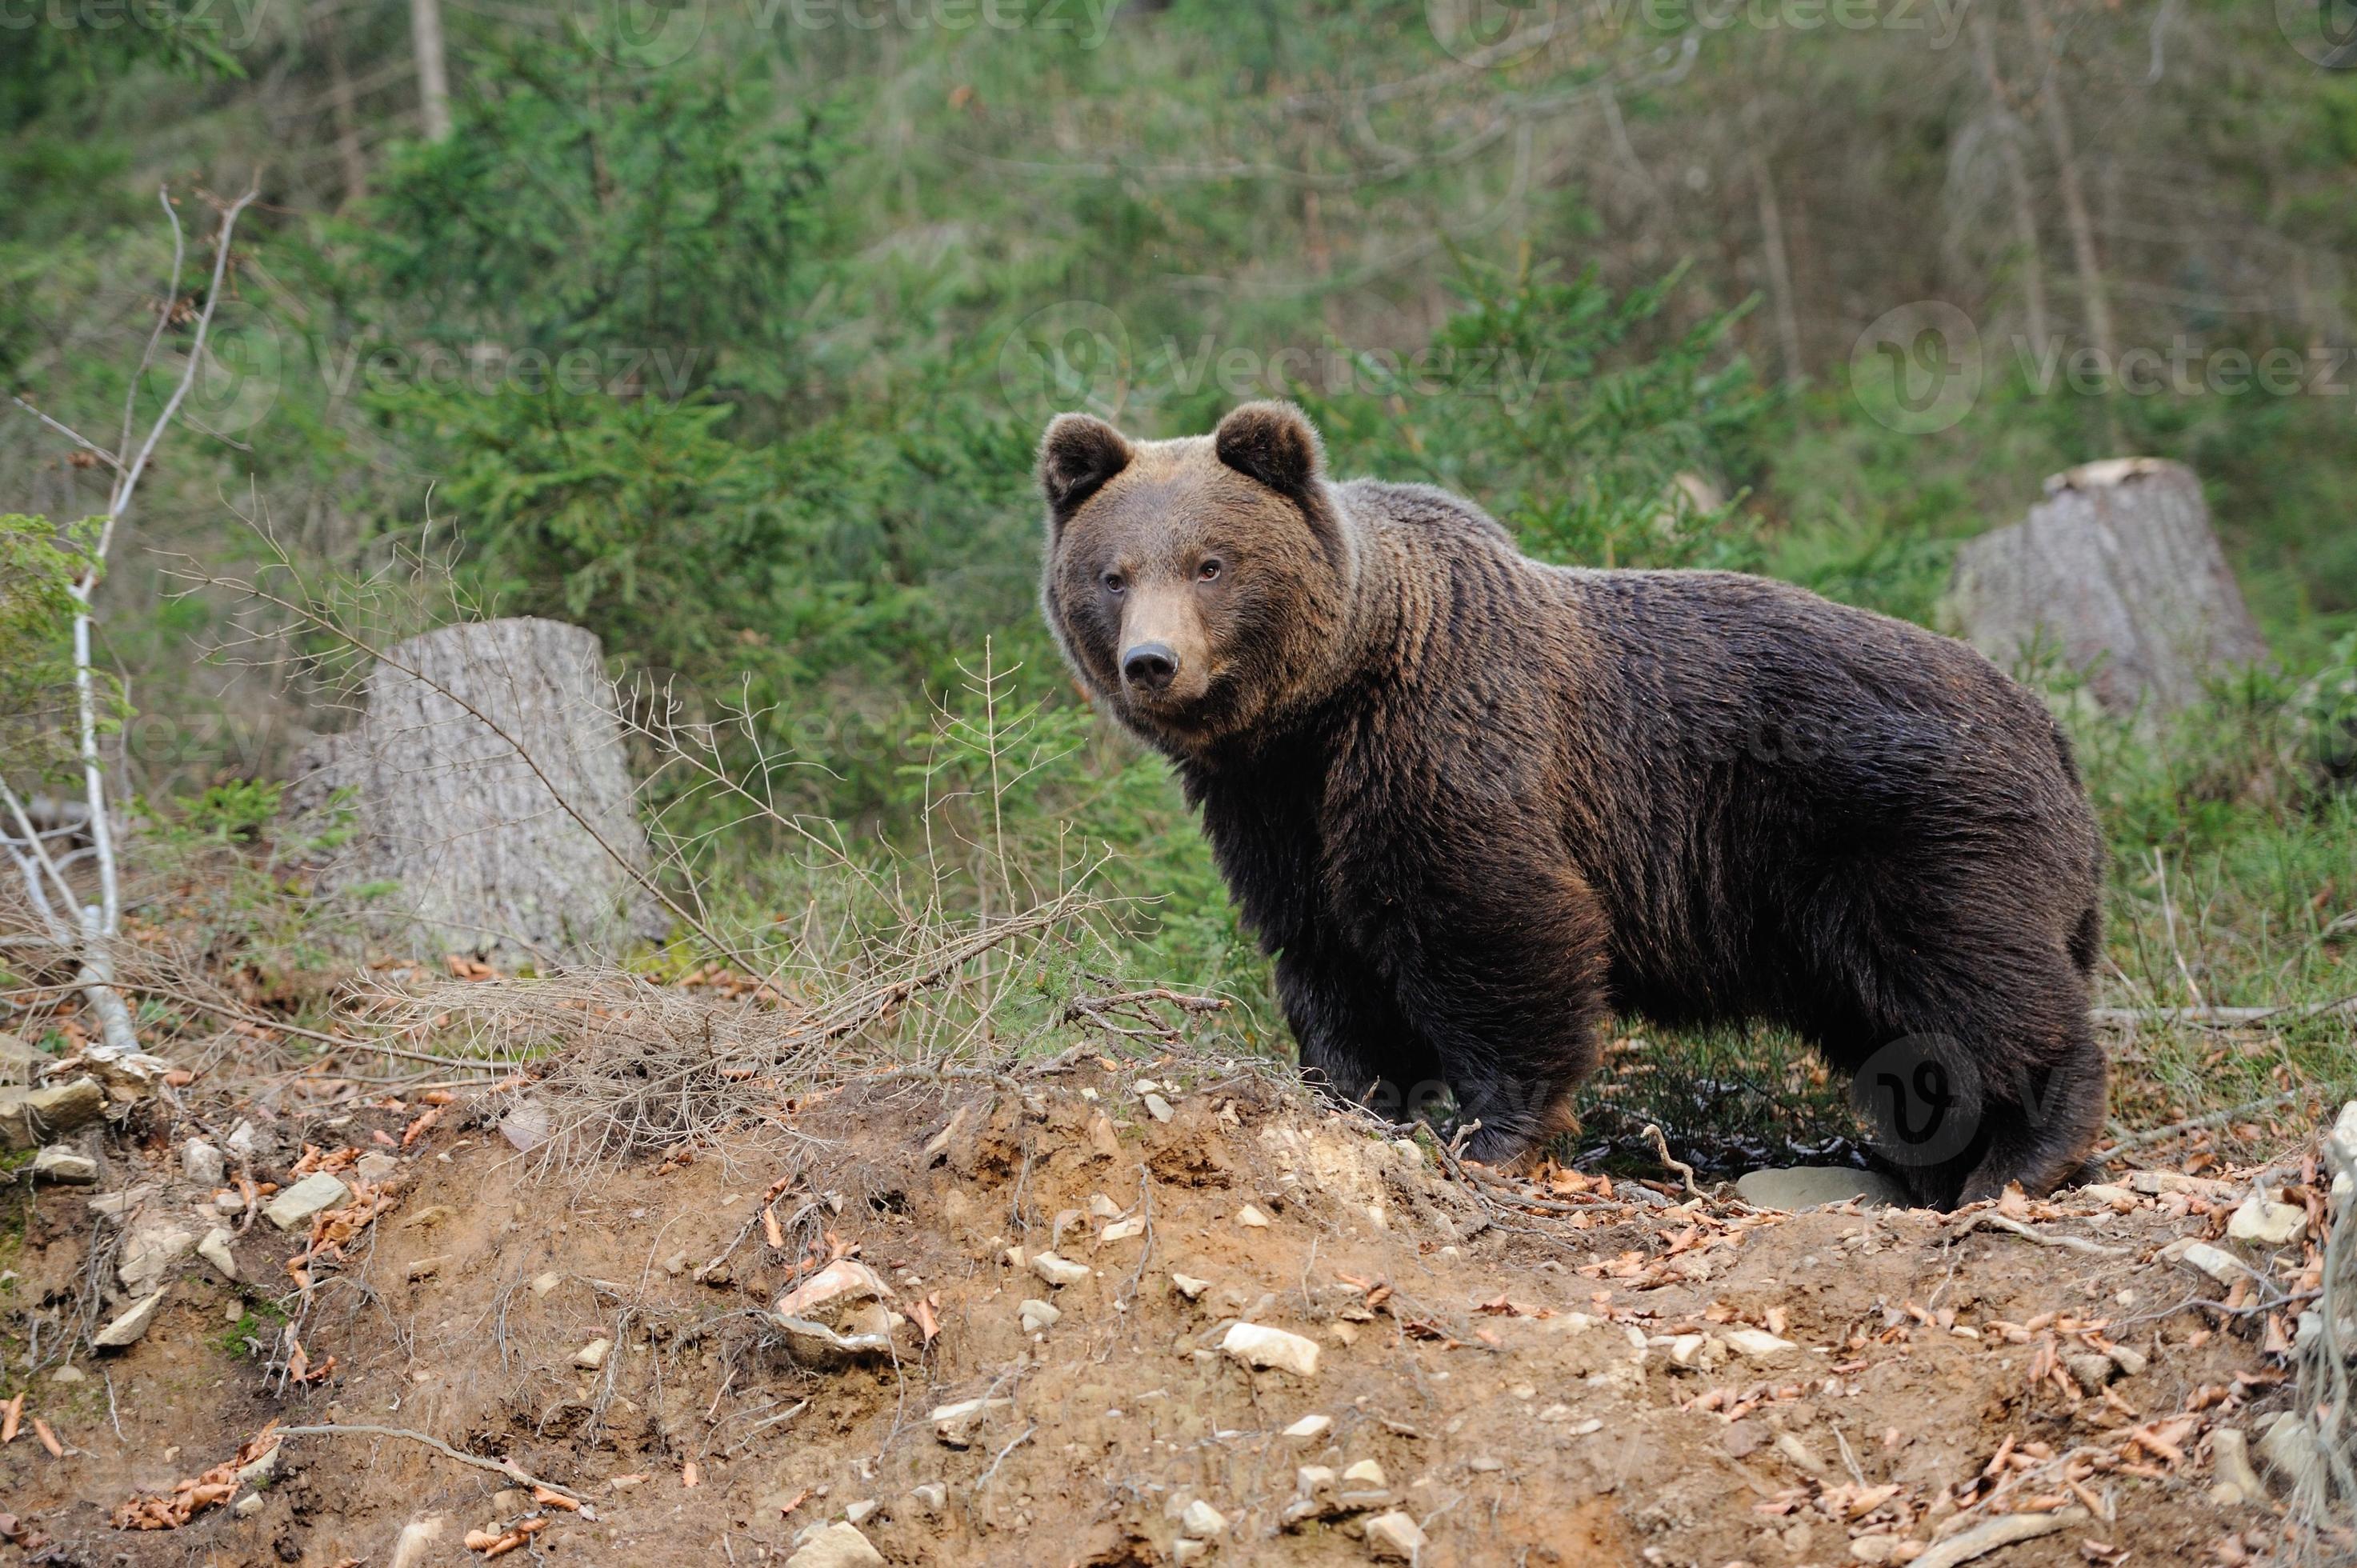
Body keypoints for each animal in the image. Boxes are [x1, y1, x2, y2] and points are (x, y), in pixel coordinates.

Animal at [1037, 400, 2108, 1207]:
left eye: (1211, 563)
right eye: (1111, 574)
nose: (1152, 662)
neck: (1329, 701)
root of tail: (2049, 727)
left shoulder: (1446, 740)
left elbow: (1492, 923)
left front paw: (1491, 1131)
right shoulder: (1275, 813)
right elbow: (1325, 953)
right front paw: (1350, 1094)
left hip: (1909, 823)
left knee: (1969, 976)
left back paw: (2024, 1152)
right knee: (1900, 1029)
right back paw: (1940, 1158)